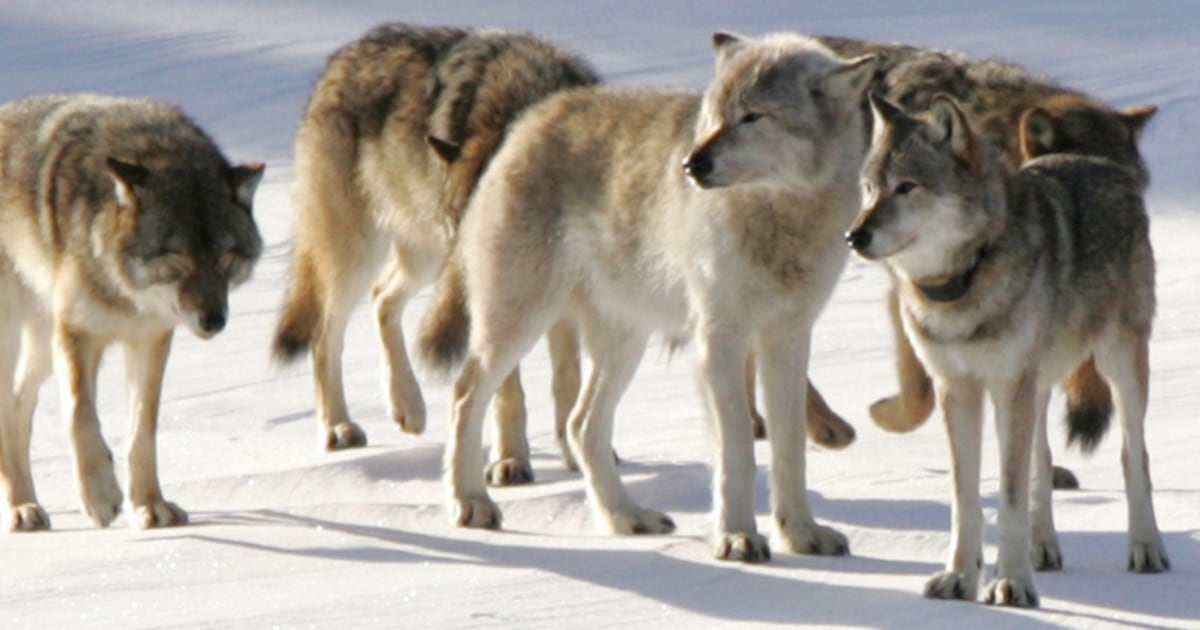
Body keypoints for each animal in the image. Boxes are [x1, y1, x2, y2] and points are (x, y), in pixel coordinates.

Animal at [0, 94, 264, 531]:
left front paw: (150, 506)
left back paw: (27, 504)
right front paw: (100, 496)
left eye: (225, 259)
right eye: (177, 258)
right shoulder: (76, 334)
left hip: (41, 344)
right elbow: (80, 414)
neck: (126, 293)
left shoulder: (149, 339)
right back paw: (21, 509)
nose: (214, 321)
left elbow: (143, 430)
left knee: (19, 403)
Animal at [420, 32, 874, 563]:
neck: (778, 217)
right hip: (519, 325)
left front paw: (801, 534)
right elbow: (738, 450)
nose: (693, 164)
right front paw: (737, 537)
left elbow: (790, 450)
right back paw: (471, 502)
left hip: (624, 342)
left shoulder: (788, 338)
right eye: (713, 116)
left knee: (580, 425)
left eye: (753, 116)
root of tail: (529, 119)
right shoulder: (719, 340)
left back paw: (626, 518)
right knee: (465, 395)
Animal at [812, 37, 1156, 465]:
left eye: (1134, 186)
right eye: (873, 188)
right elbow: (920, 399)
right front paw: (886, 416)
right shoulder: (908, 297)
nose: (855, 237)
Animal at [847, 93, 1168, 607]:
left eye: (907, 187)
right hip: (1036, 386)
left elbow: (1010, 498)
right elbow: (966, 499)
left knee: (1132, 456)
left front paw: (1012, 583)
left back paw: (1146, 548)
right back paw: (1044, 549)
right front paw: (960, 577)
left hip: (1119, 365)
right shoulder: (957, 389)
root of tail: (1100, 162)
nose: (854, 236)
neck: (963, 281)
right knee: (1042, 460)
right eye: (869, 188)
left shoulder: (1007, 385)